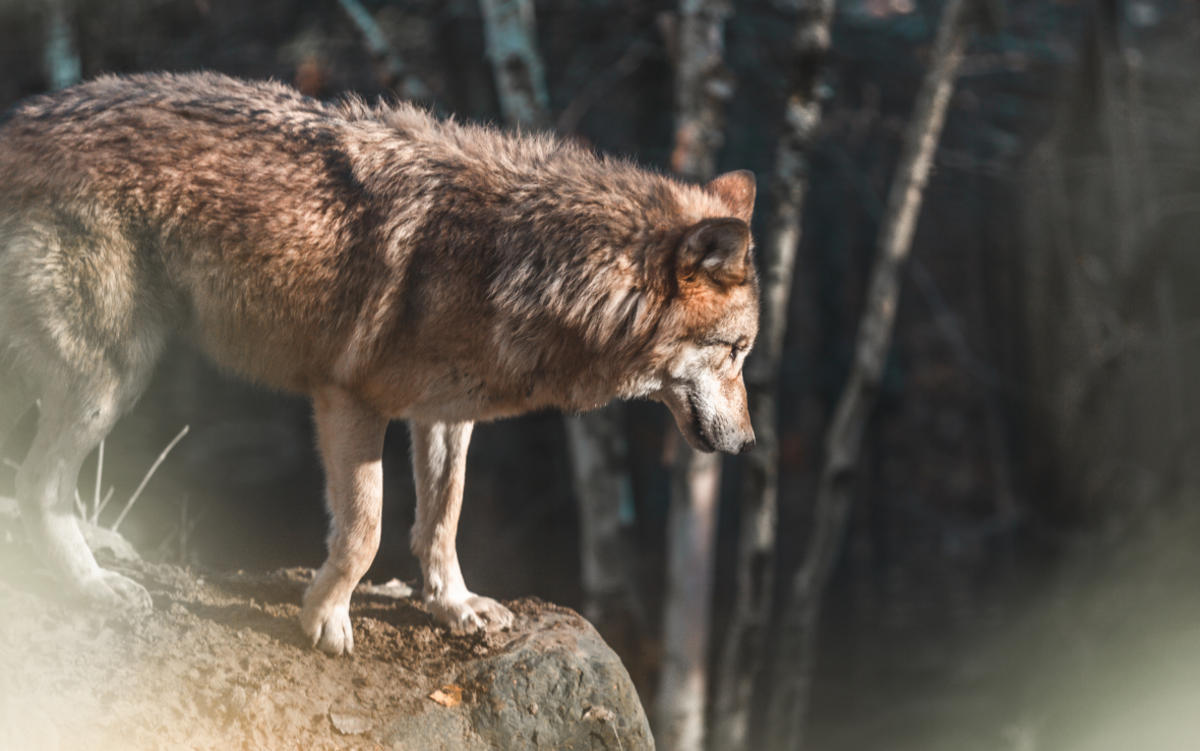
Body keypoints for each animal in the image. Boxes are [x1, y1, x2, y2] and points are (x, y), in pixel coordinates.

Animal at [0, 72, 758, 654]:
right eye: (737, 350)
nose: (751, 444)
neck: (524, 261)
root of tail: (19, 123)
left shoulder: (445, 415)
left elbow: (442, 519)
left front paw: (456, 607)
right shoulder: (348, 400)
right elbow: (365, 532)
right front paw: (325, 618)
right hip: (111, 377)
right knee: (41, 486)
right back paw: (92, 586)